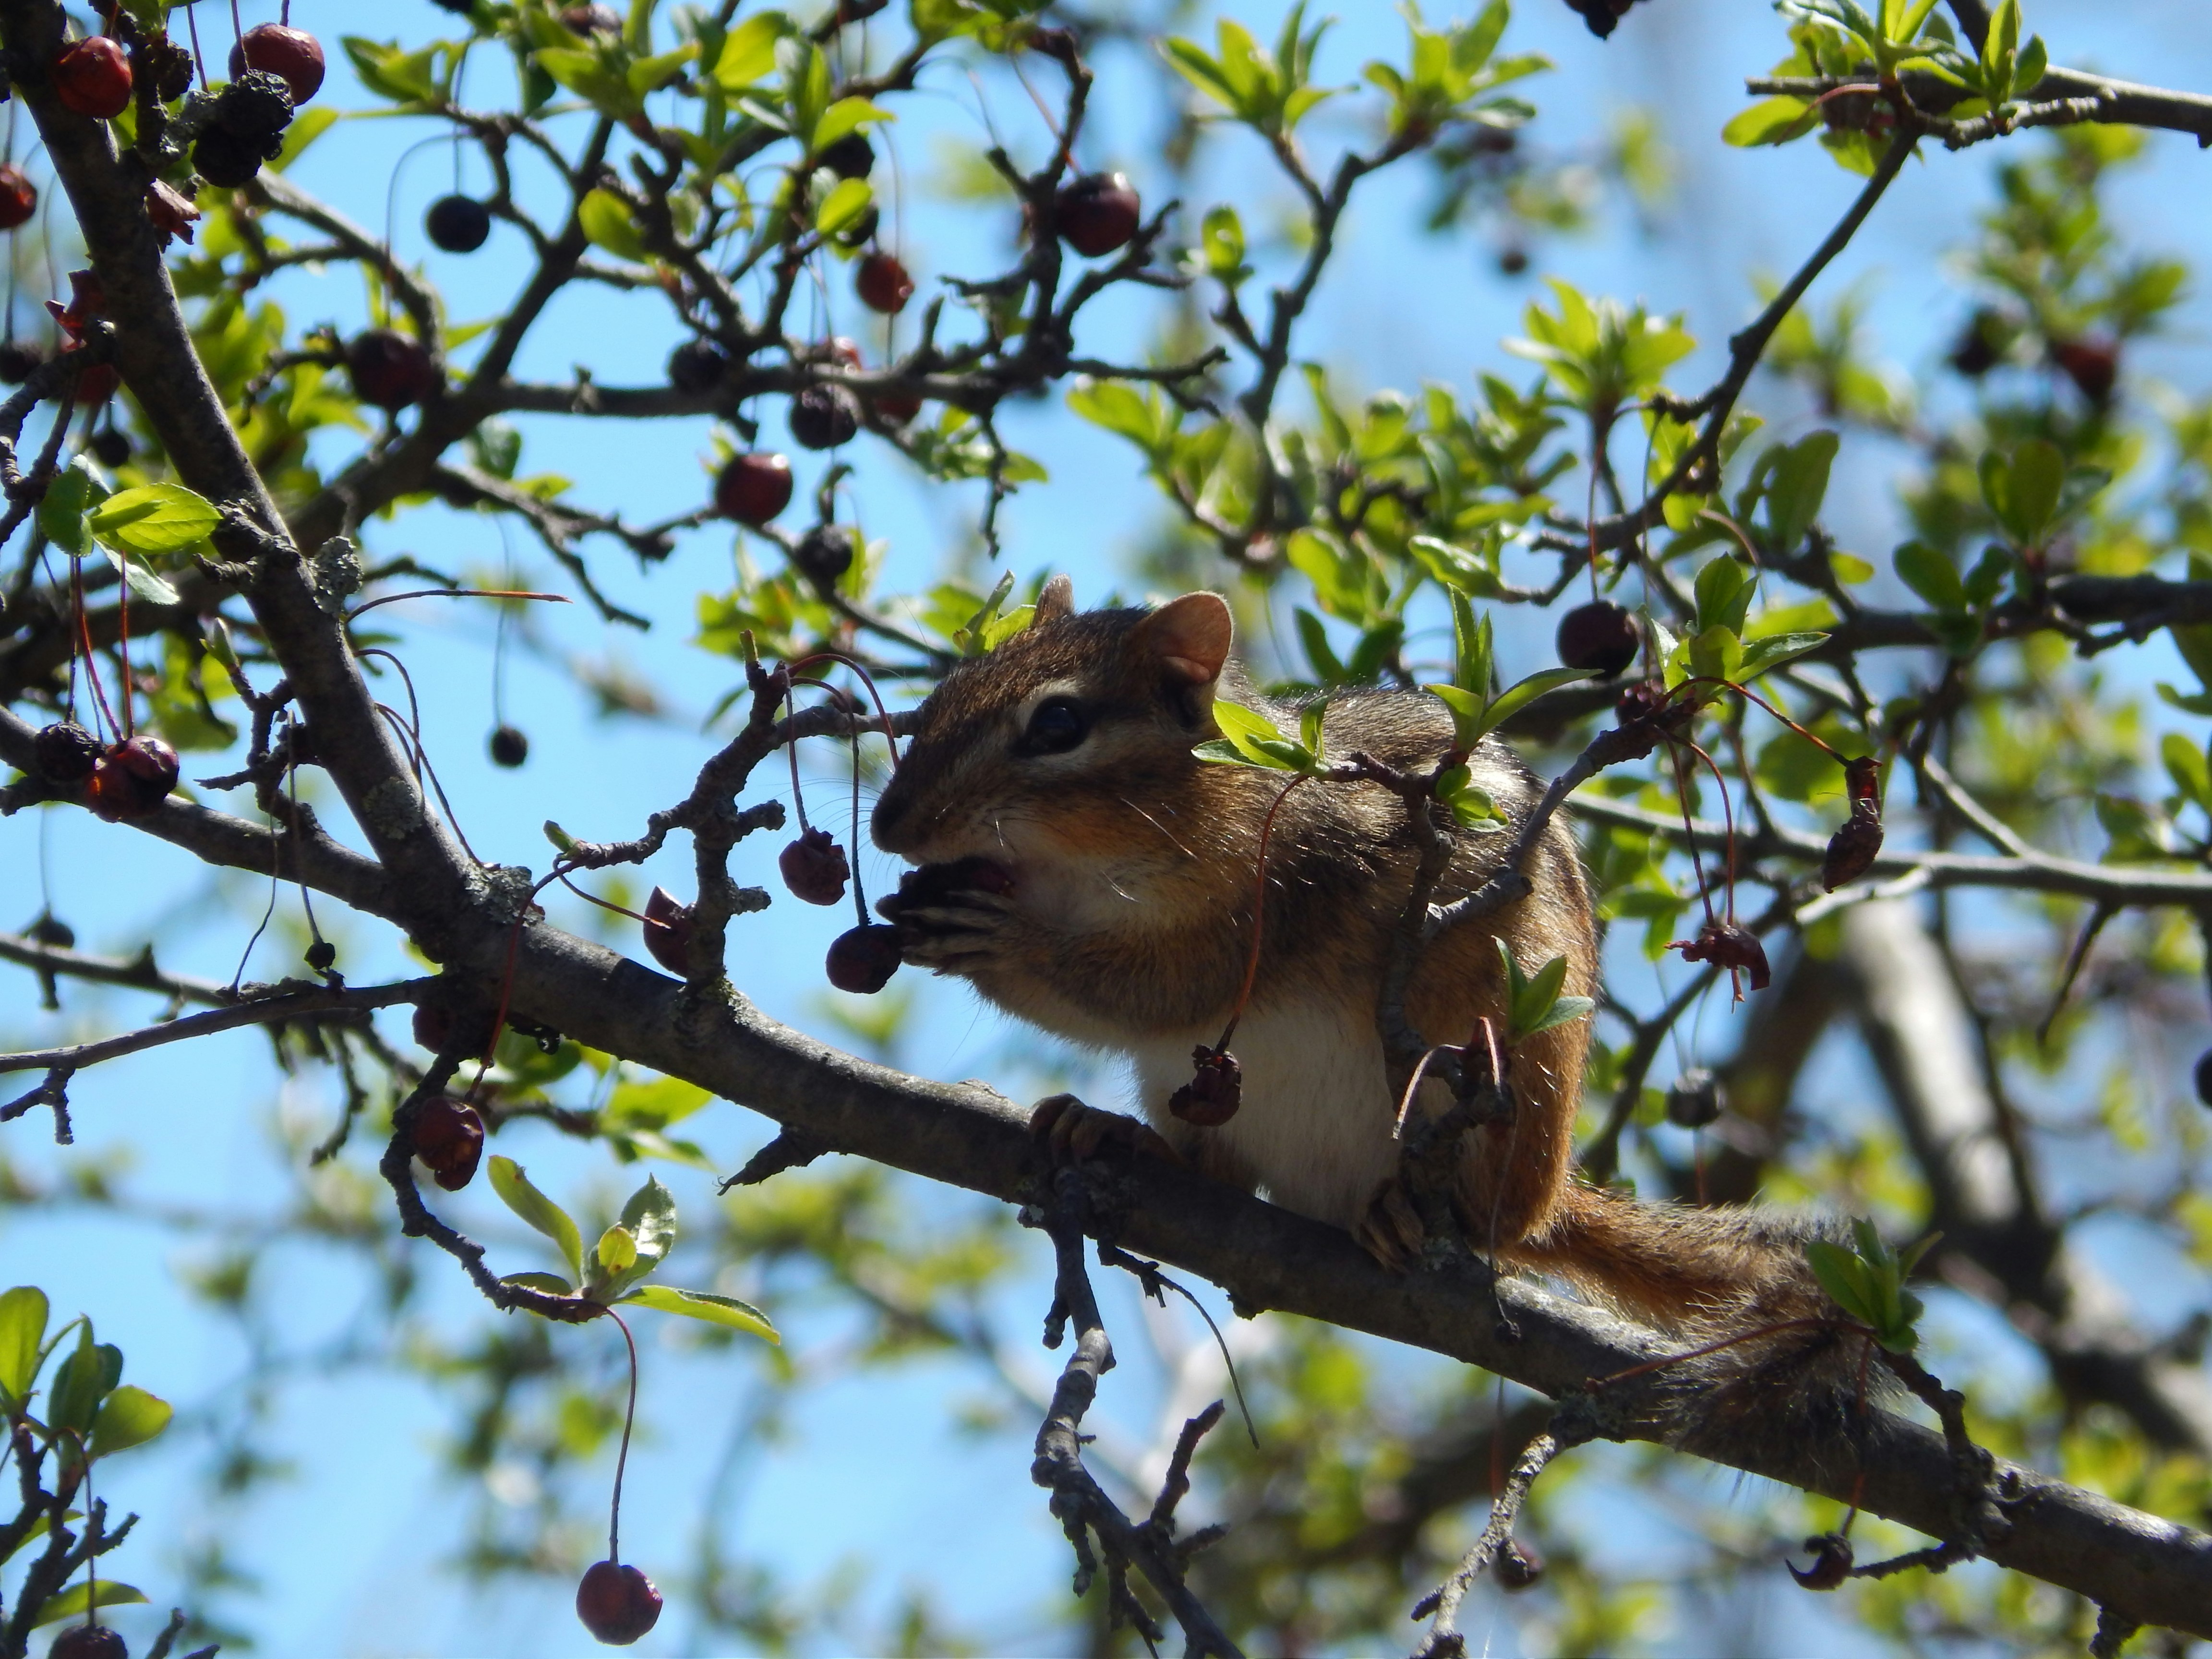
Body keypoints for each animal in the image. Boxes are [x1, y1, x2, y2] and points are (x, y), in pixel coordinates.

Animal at [871, 582, 1847, 1422]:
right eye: (946, 689)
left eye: (1059, 724)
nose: (887, 828)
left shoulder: (1285, 888)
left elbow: (1159, 987)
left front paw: (1002, 945)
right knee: (1214, 1172)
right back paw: (1119, 1136)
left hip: (1508, 1075)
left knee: (1493, 1216)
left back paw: (1411, 1209)